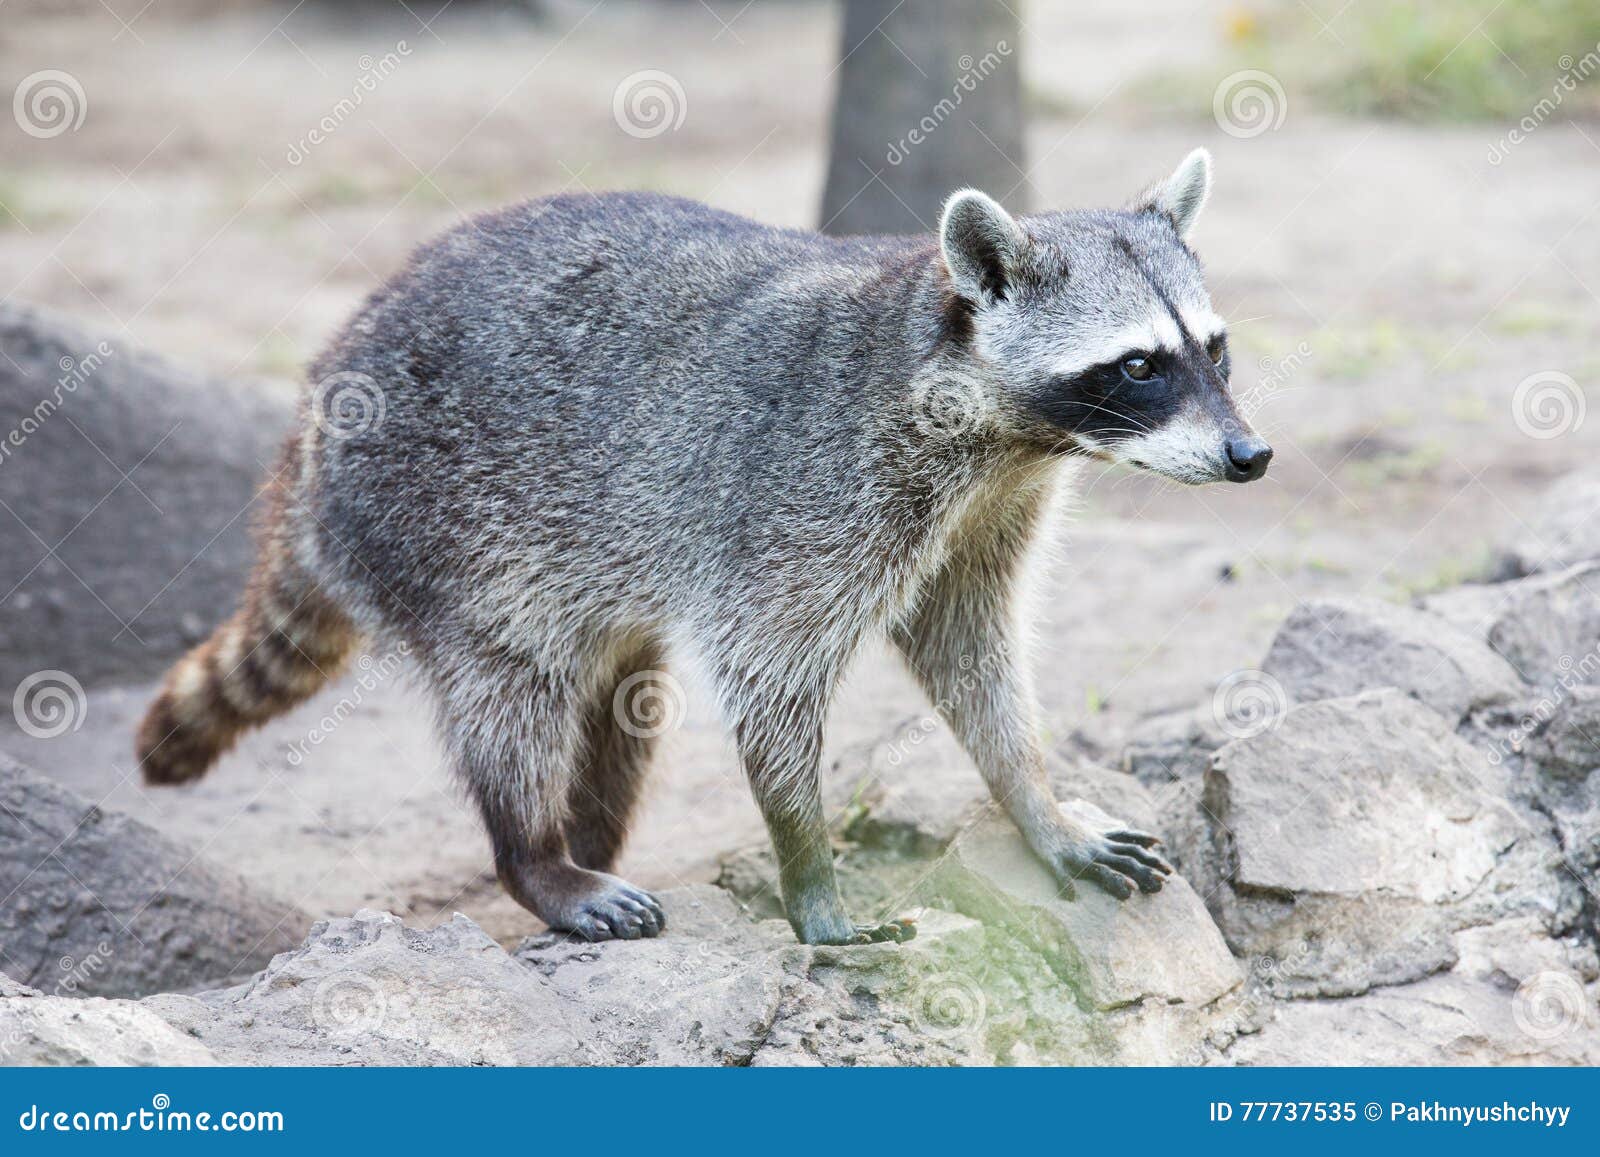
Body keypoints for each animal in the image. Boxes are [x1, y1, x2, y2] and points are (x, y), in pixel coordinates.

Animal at [137, 148, 1269, 945]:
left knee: (617, 699)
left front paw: (1034, 798)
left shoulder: (985, 514)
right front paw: (809, 869)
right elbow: (772, 677)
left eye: (1212, 349)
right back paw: (535, 855)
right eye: (1138, 365)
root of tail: (313, 415)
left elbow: (969, 654)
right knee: (513, 689)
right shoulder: (809, 500)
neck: (1005, 433)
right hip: (436, 522)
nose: (1250, 454)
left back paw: (588, 837)